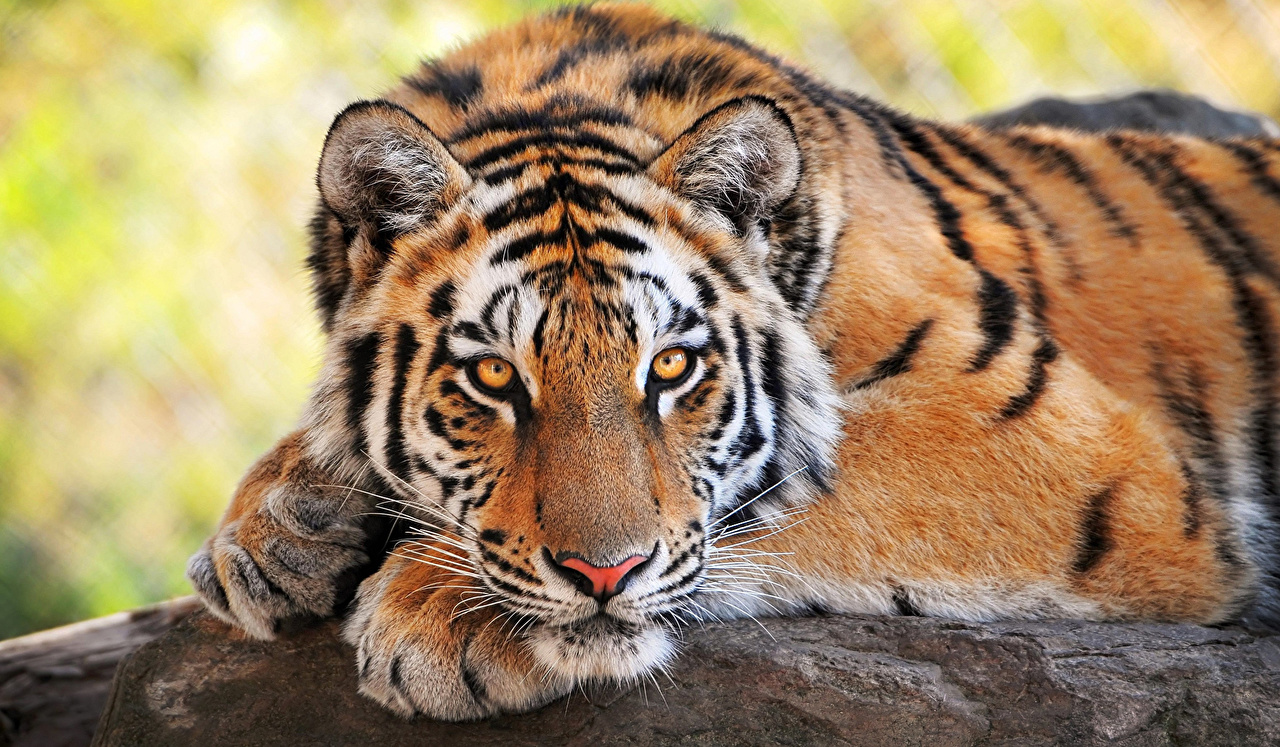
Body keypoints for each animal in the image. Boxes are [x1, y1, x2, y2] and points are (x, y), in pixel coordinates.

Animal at [185, 2, 1280, 721]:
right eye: (493, 377)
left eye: (671, 368)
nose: (602, 573)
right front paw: (277, 527)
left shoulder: (1068, 446)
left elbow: (774, 490)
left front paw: (438, 611)